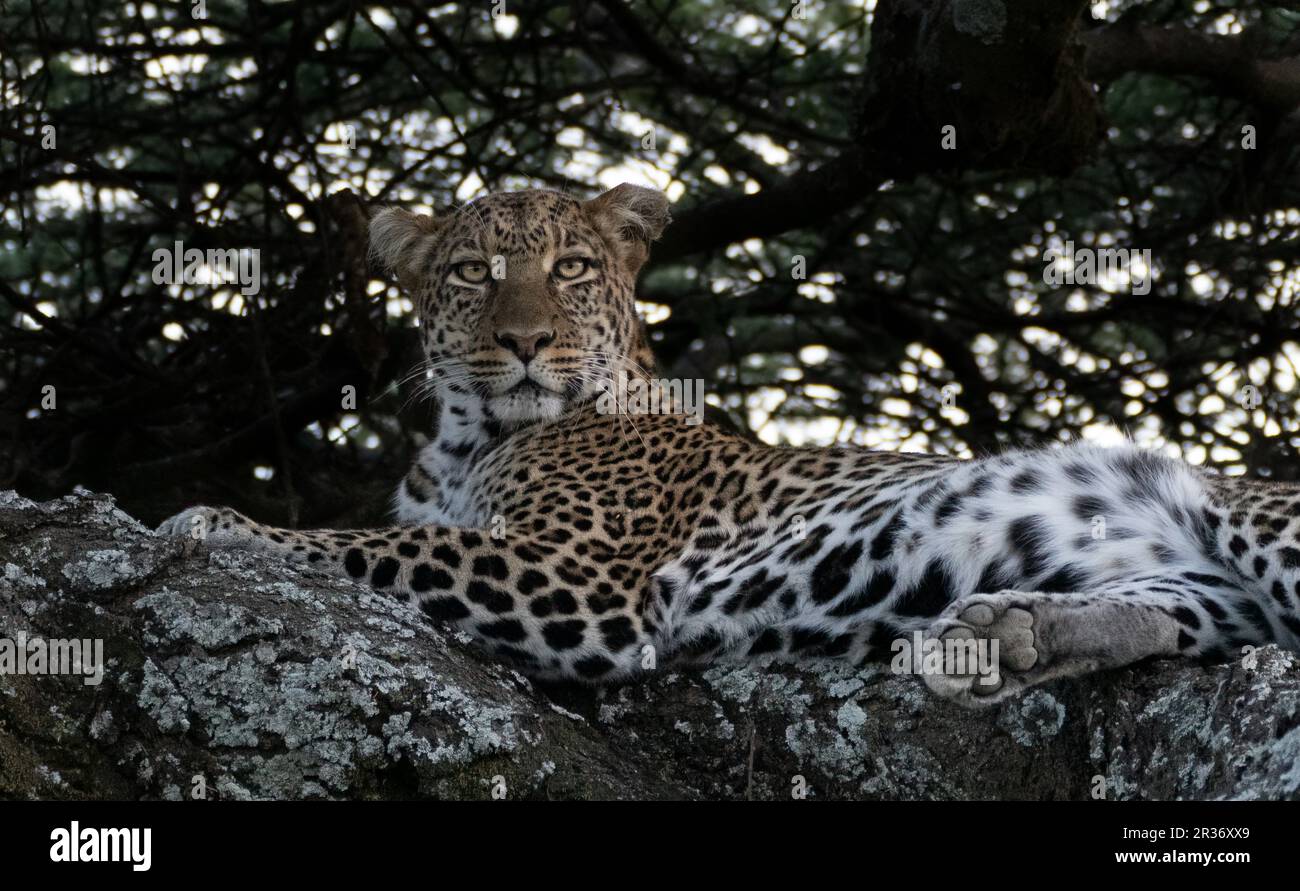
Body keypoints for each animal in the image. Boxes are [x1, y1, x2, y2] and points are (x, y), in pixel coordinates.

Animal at [158, 183, 1300, 707]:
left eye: (571, 268)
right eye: (474, 273)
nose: (525, 343)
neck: (466, 440)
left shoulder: (590, 582)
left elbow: (383, 544)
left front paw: (222, 521)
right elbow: (398, 534)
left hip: (1253, 519)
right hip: (1181, 575)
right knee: (1200, 613)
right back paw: (1007, 633)